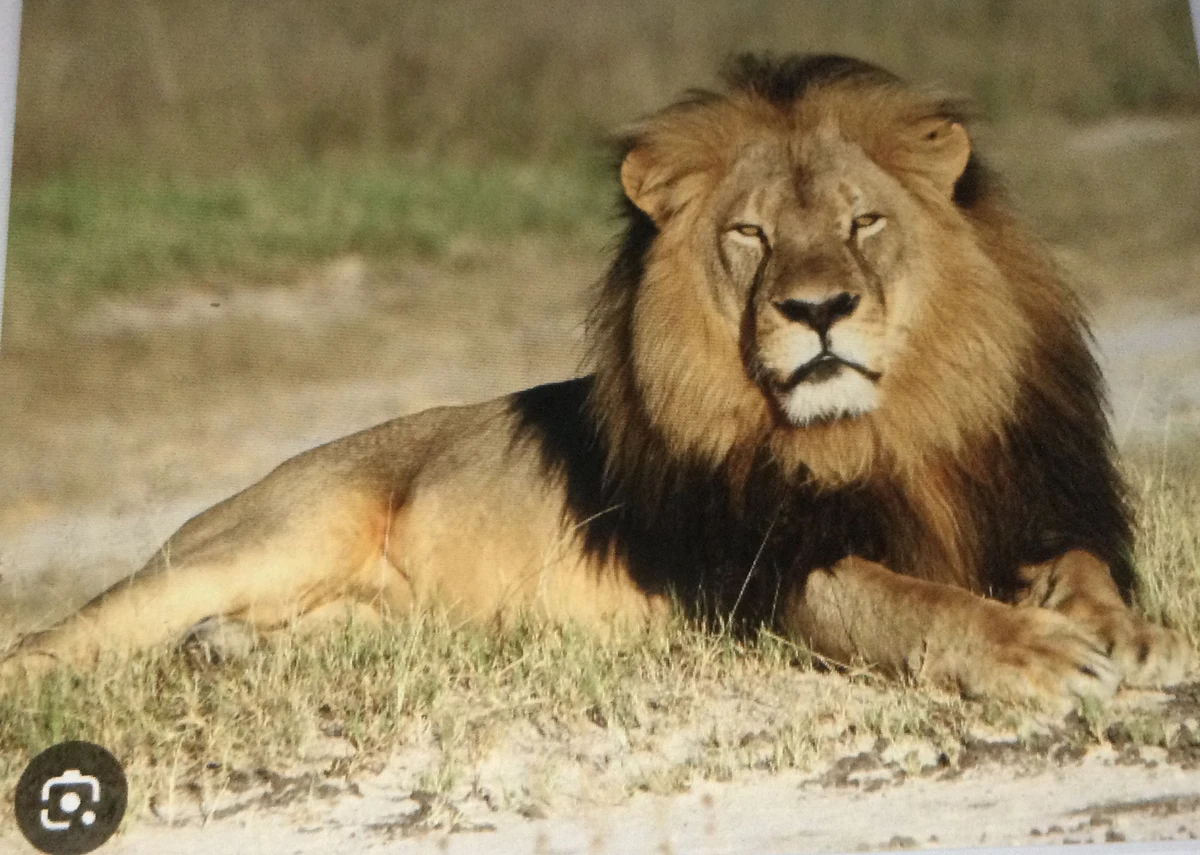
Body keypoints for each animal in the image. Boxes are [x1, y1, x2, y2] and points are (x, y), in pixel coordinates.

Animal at [2, 53, 1192, 704]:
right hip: (266, 535)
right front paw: (1034, 653)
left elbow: (1082, 562)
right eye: (752, 236)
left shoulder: (1025, 499)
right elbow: (907, 602)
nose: (816, 311)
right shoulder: (761, 578)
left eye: (864, 223)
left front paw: (1128, 633)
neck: (884, 427)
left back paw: (226, 652)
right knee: (51, 639)